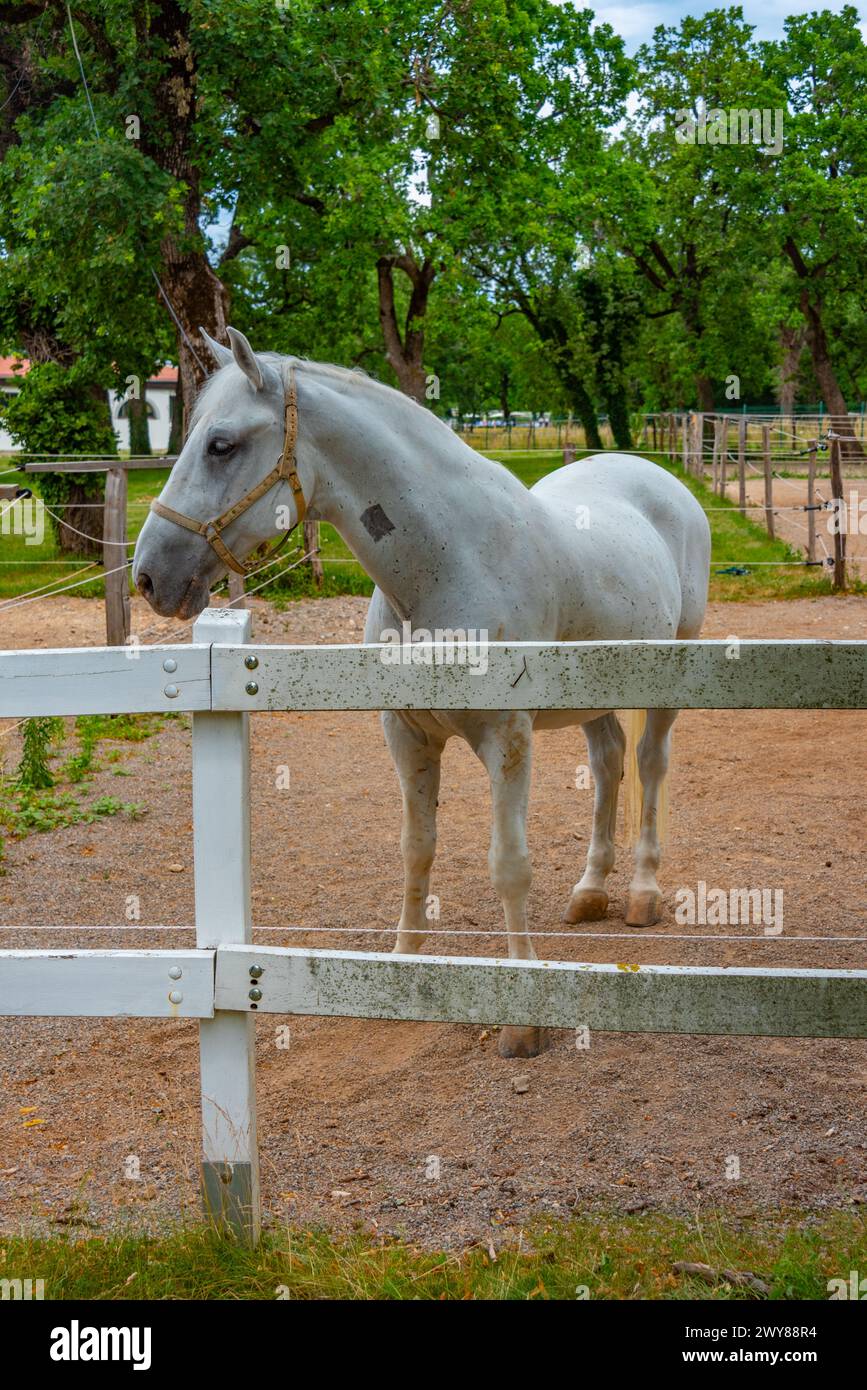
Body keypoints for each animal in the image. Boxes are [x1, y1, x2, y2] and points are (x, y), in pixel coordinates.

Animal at [133, 327, 711, 1058]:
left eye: (222, 444)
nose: (150, 575)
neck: (449, 561)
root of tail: (657, 478)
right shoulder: (405, 735)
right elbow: (416, 849)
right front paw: (403, 973)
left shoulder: (508, 738)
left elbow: (509, 864)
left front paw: (522, 1021)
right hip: (592, 691)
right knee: (608, 764)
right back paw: (588, 891)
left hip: (669, 672)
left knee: (648, 765)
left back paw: (639, 894)